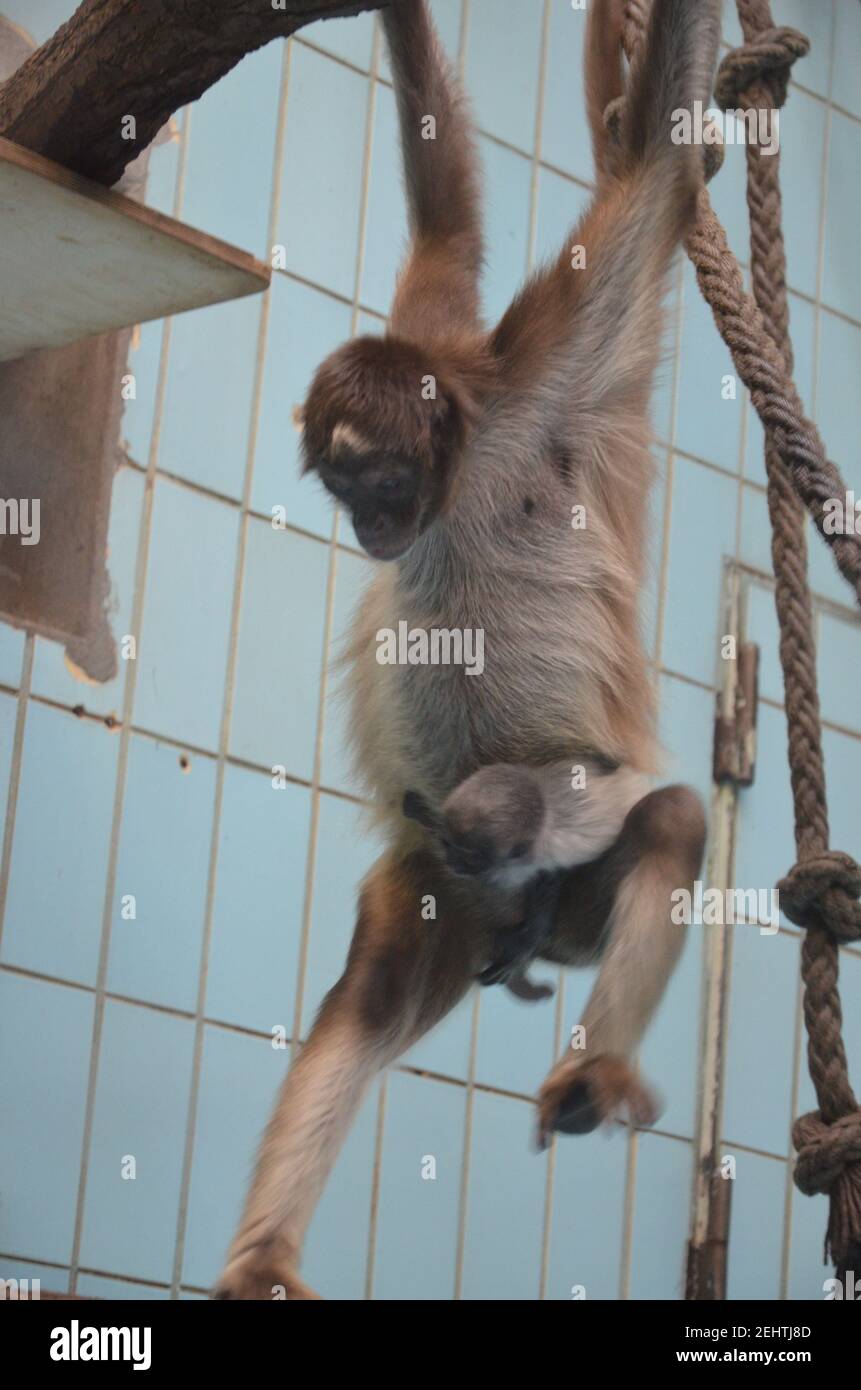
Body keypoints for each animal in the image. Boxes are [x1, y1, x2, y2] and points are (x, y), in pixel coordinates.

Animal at [216, 0, 718, 1299]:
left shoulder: (544, 369)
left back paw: (592, 1072)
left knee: (670, 820)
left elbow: (654, 162)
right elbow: (452, 221)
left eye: (383, 481)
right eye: (341, 490)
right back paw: (262, 1258)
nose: (374, 529)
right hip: (441, 880)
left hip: (567, 891)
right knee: (378, 979)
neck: (466, 466)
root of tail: (505, 910)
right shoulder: (453, 342)